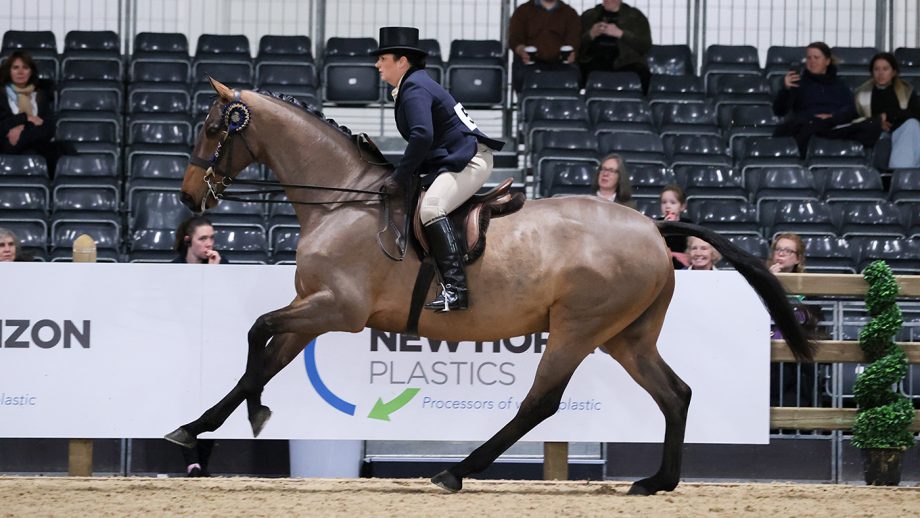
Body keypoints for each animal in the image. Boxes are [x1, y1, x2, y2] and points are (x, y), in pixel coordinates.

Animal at [166, 78, 814, 495]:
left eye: (211, 128)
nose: (189, 197)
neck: (342, 200)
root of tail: (654, 228)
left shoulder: (334, 310)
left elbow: (257, 334)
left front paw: (235, 417)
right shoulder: (314, 309)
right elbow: (265, 357)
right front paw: (210, 422)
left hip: (578, 328)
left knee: (541, 402)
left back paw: (456, 471)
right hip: (627, 336)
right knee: (674, 394)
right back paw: (657, 482)